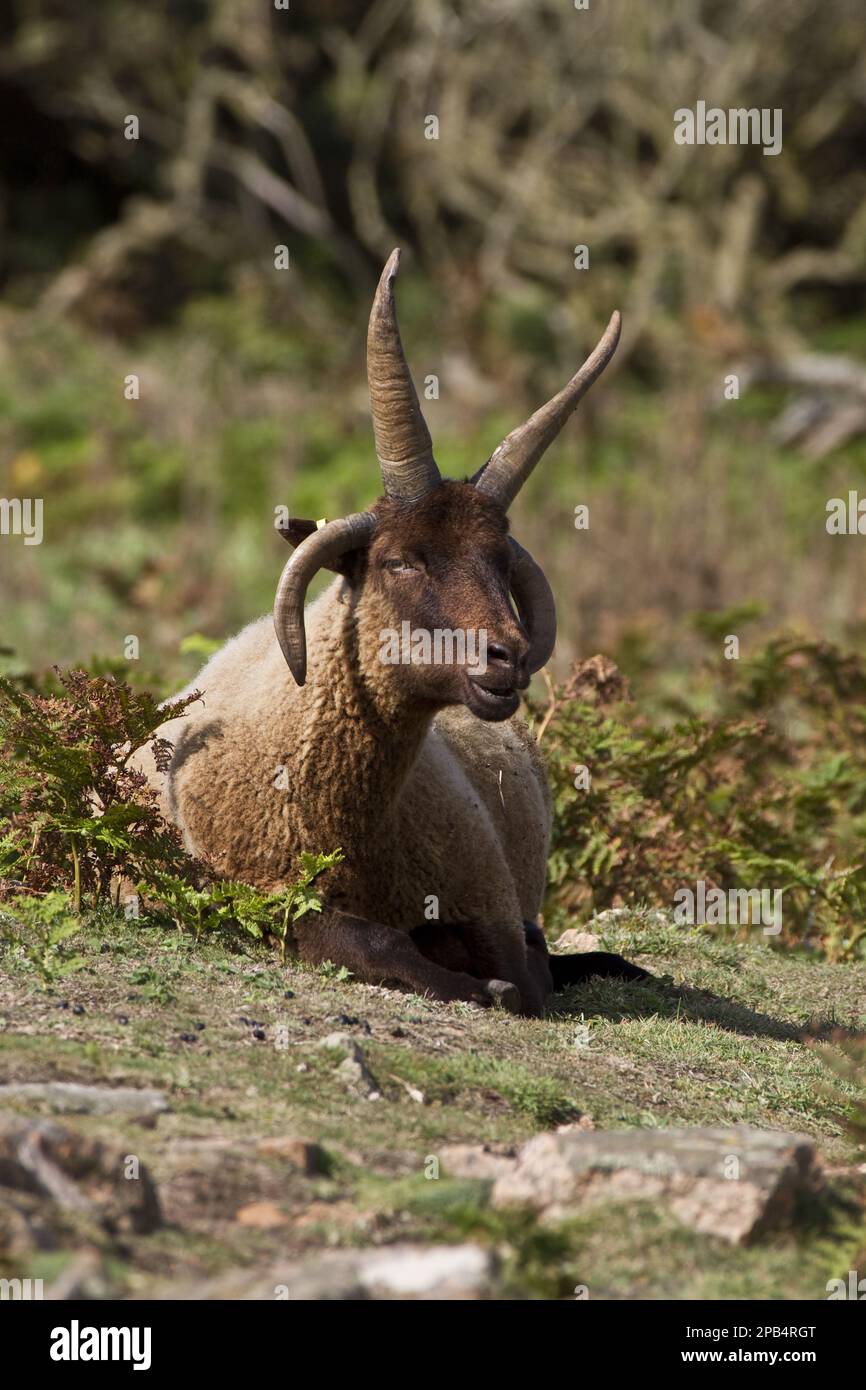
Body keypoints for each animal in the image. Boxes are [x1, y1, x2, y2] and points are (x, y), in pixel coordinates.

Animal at [133, 250, 646, 1016]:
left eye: (501, 562)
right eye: (398, 560)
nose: (507, 658)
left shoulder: (491, 904)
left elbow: (528, 975)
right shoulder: (262, 903)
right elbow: (378, 945)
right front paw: (468, 981)